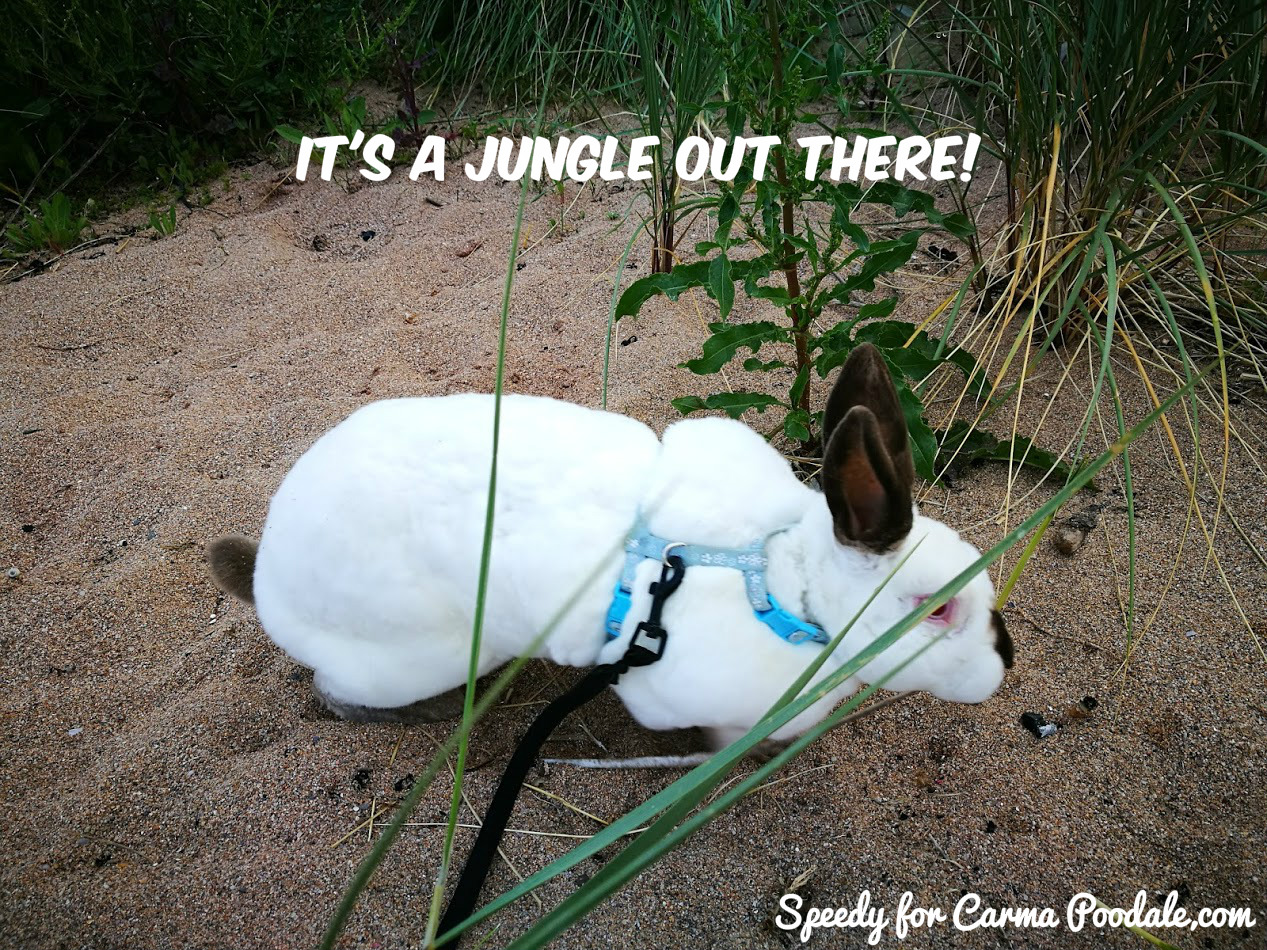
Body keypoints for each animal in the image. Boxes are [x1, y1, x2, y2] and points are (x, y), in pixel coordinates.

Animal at [206, 344, 1013, 748]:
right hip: (416, 657)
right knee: (333, 693)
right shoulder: (672, 693)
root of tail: (268, 576)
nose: (1003, 663)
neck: (784, 584)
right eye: (937, 610)